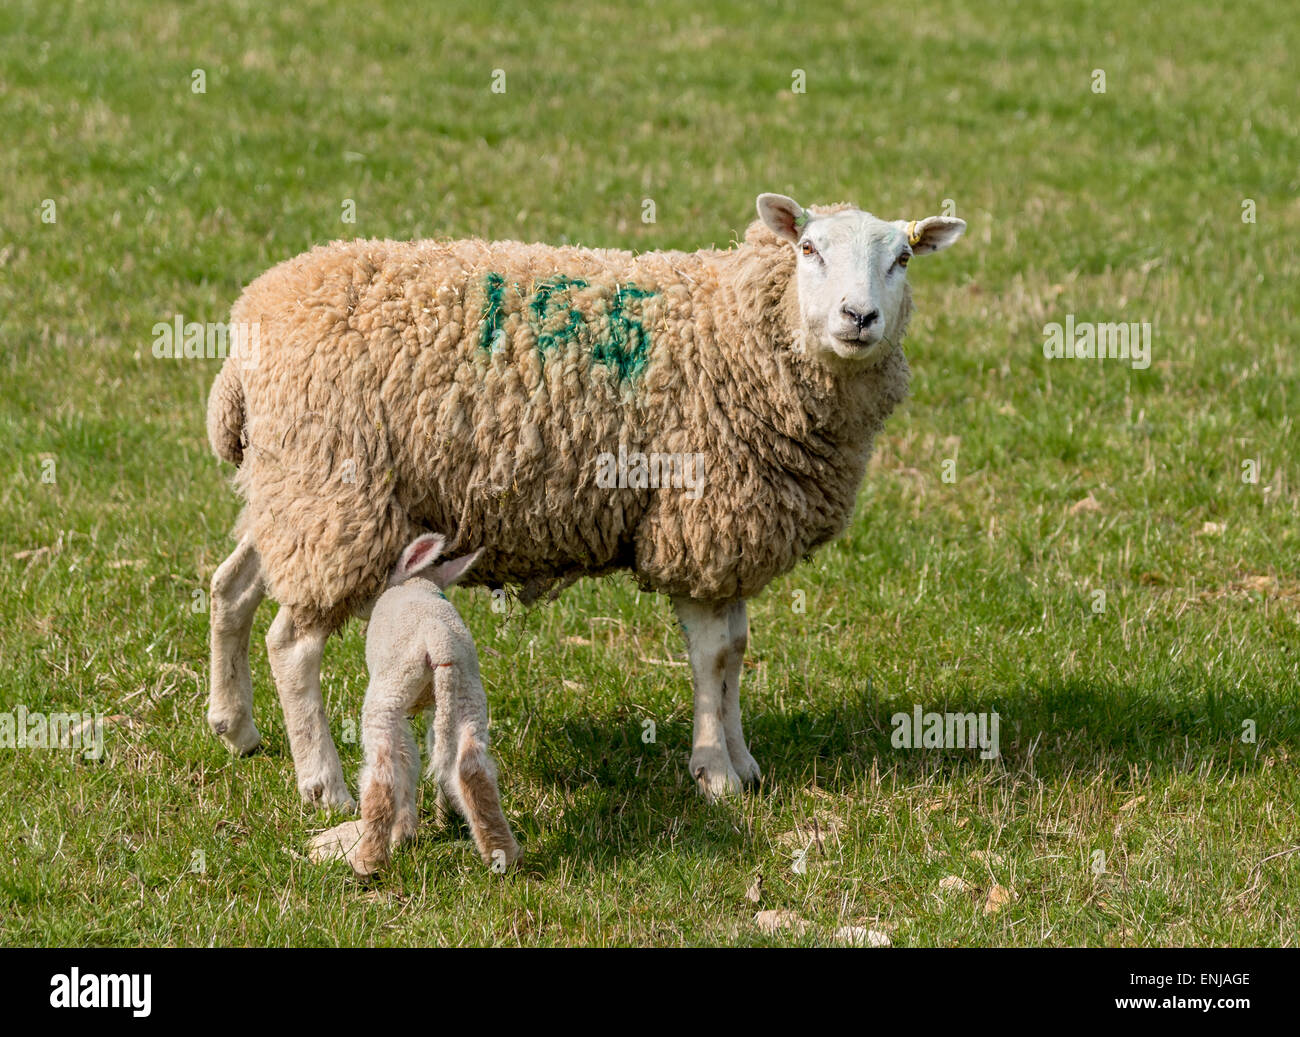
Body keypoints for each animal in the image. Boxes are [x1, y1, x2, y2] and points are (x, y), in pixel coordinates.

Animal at [205, 192, 966, 807]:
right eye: (810, 249)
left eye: (902, 258)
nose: (859, 316)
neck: (733, 337)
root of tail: (246, 326)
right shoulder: (696, 521)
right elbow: (712, 658)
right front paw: (715, 772)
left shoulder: (730, 538)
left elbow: (737, 651)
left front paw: (745, 761)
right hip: (335, 492)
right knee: (292, 643)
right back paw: (322, 782)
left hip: (292, 491)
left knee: (232, 587)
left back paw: (235, 726)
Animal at [307, 533, 519, 876]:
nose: (360, 605)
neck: (418, 581)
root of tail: (438, 640)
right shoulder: (437, 705)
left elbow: (405, 760)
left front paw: (402, 834)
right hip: (468, 694)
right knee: (471, 767)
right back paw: (503, 855)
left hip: (389, 692)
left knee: (383, 776)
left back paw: (368, 862)